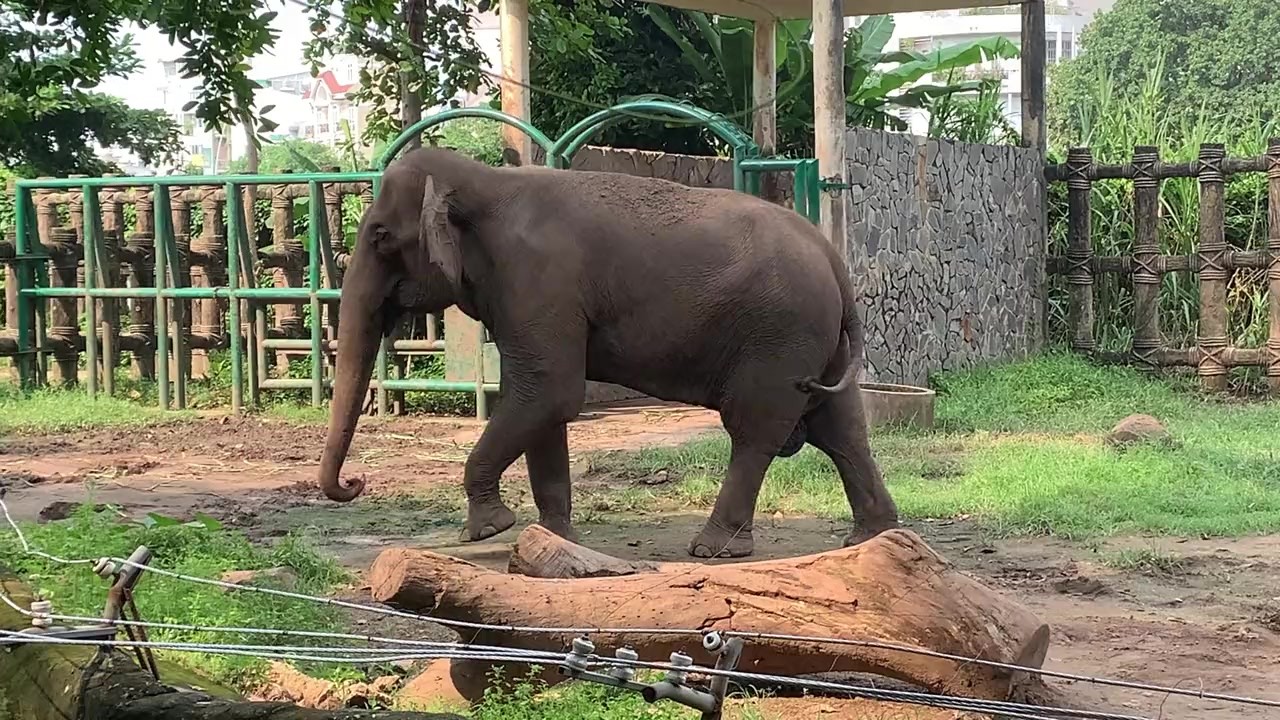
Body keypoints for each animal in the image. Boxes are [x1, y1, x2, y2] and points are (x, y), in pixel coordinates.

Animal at [316, 146, 900, 558]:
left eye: (380, 236)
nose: (355, 482)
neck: (486, 178)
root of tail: (833, 257)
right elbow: (541, 406)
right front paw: (553, 539)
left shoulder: (538, 281)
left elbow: (548, 393)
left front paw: (487, 530)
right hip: (816, 342)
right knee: (840, 430)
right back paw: (871, 538)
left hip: (779, 337)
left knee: (756, 430)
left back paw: (713, 548)